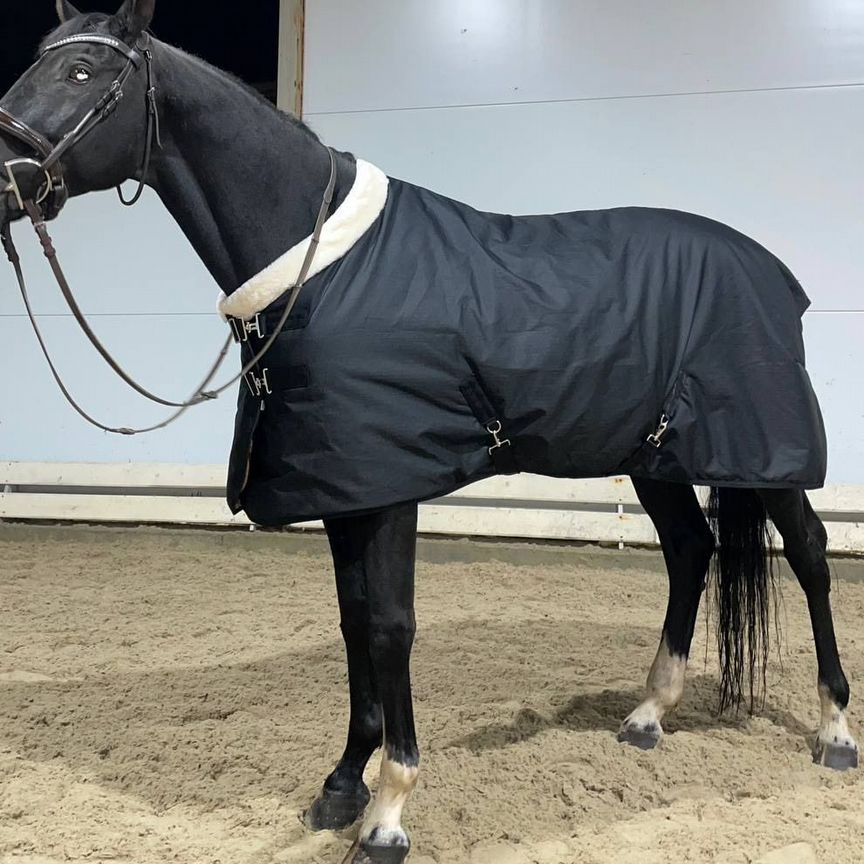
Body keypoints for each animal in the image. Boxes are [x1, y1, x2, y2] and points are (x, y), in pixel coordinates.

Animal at [0, 2, 857, 861]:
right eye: (36, 63)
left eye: (81, 73)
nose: (5, 177)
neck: (321, 269)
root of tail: (768, 268)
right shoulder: (344, 490)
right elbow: (353, 625)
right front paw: (342, 784)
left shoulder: (389, 488)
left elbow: (390, 627)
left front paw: (388, 812)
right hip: (657, 456)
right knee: (689, 550)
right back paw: (649, 715)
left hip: (763, 454)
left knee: (810, 555)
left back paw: (834, 730)